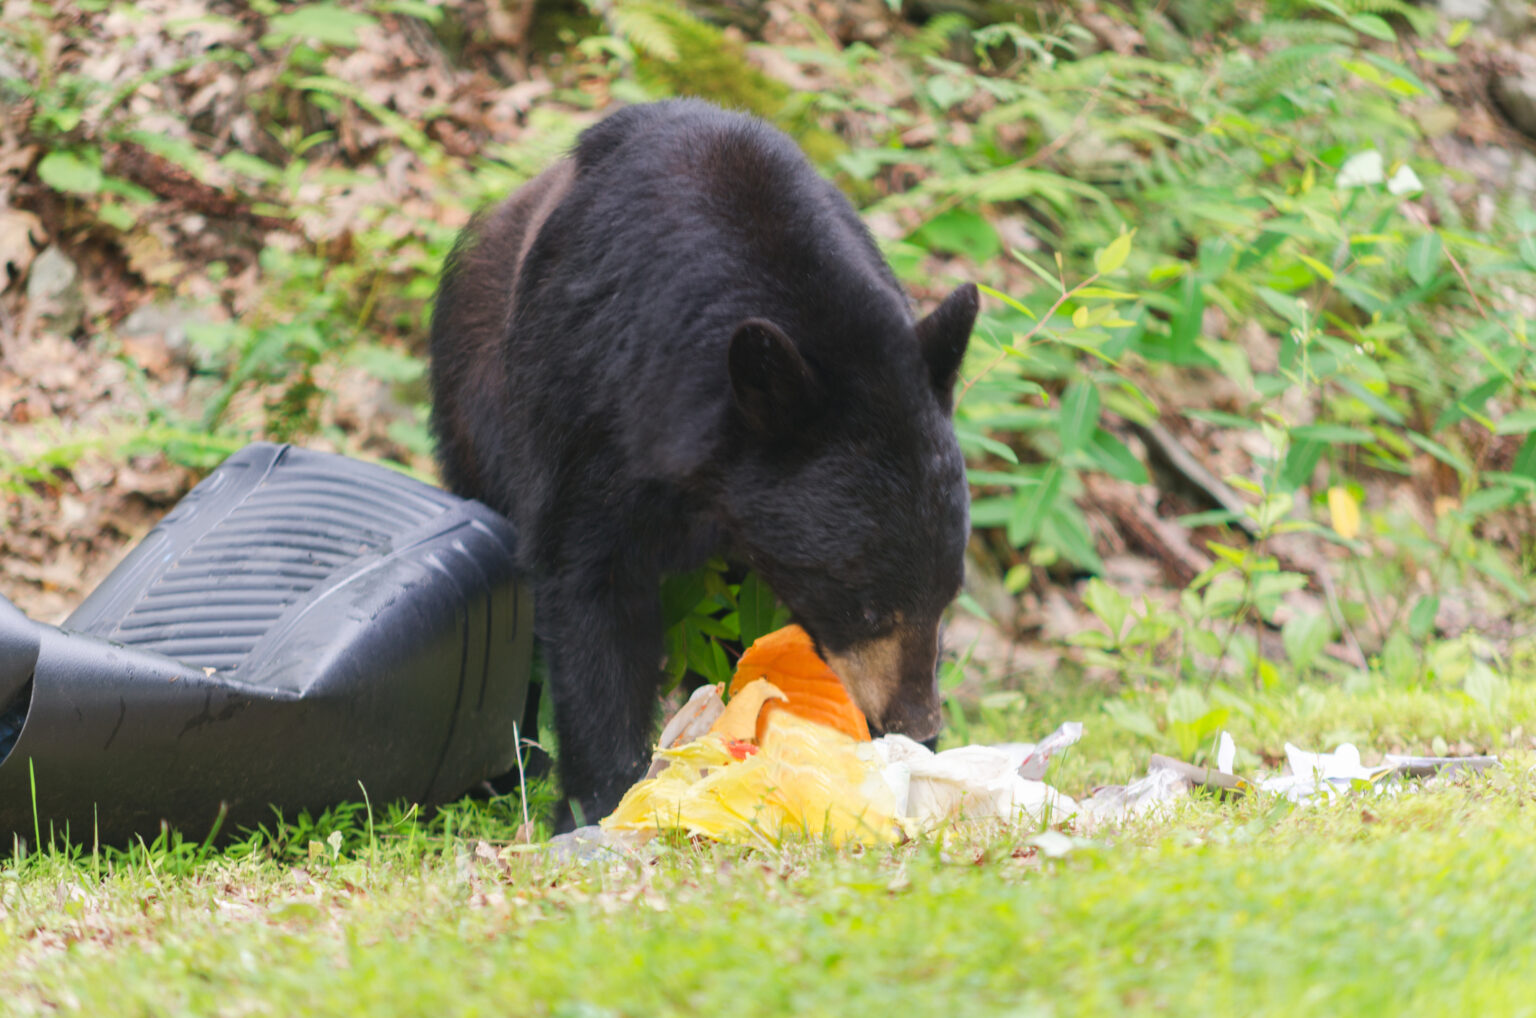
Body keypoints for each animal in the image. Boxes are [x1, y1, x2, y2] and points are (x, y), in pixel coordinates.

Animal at [429, 99, 978, 827]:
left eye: (949, 592)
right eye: (862, 606)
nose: (915, 723)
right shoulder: (589, 406)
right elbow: (588, 588)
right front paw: (602, 799)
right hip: (473, 409)